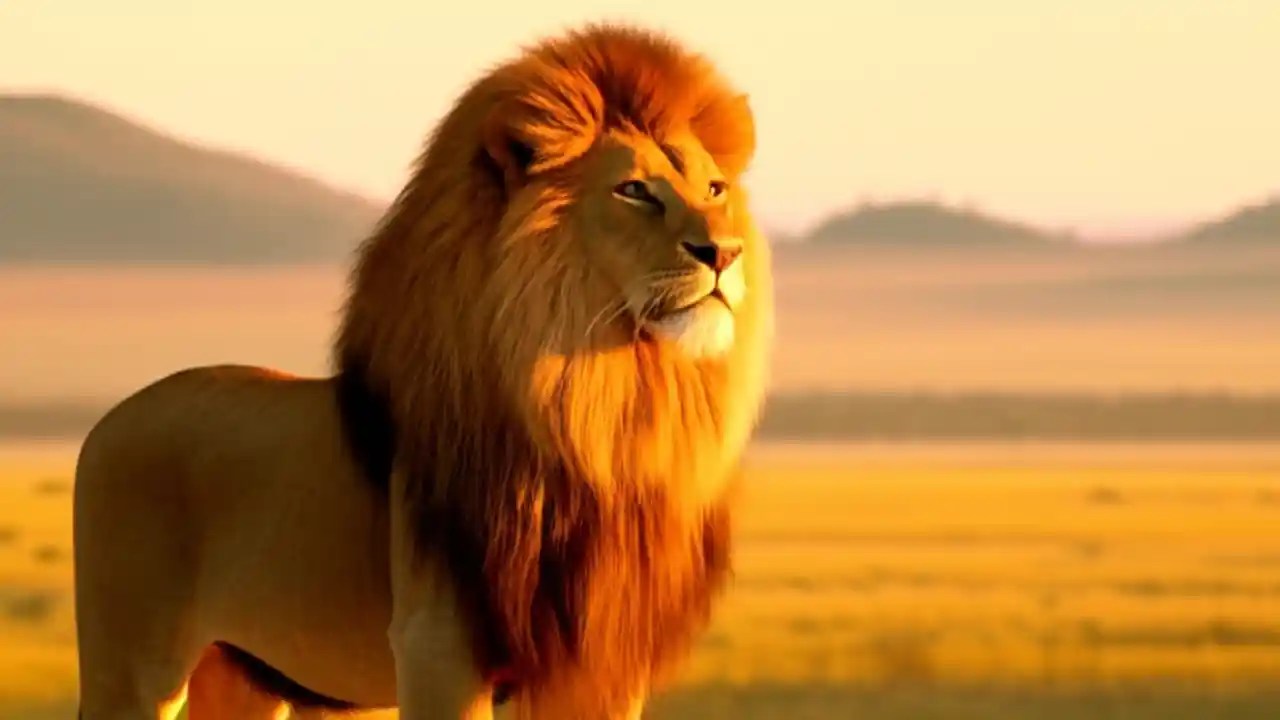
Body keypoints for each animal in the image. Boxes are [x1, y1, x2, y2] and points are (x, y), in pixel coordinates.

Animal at [73, 22, 773, 720]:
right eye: (634, 190)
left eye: (715, 190)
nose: (724, 252)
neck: (604, 414)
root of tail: (109, 419)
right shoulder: (436, 645)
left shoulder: (600, 668)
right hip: (130, 668)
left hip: (241, 673)